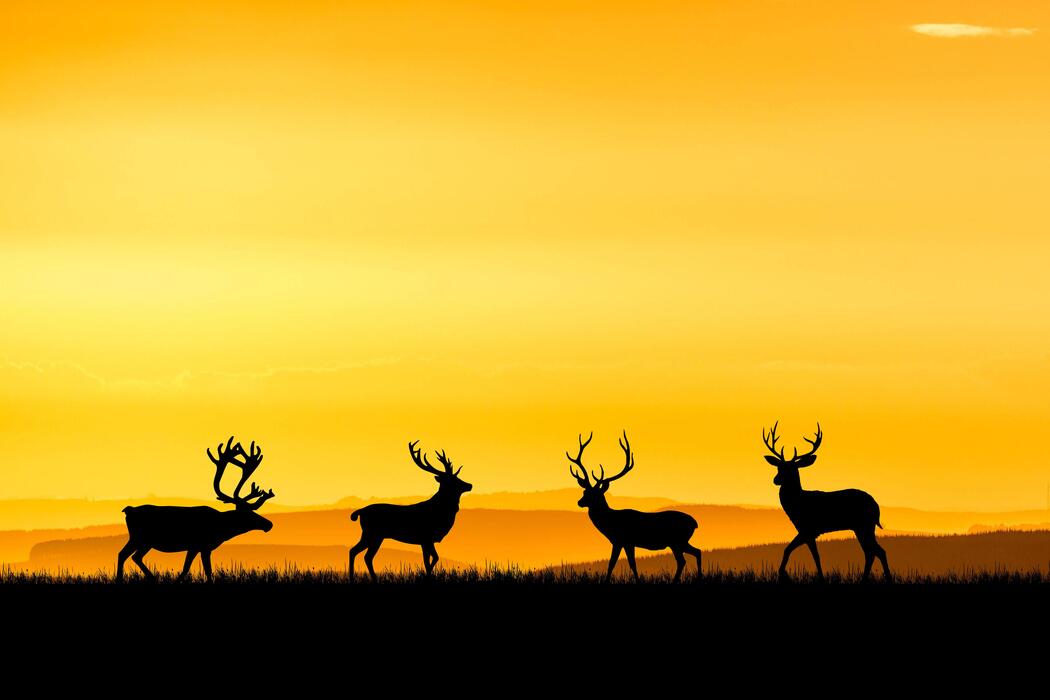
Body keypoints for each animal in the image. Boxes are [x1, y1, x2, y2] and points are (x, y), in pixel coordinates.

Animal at [116, 436, 276, 582]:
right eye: (249, 513)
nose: (269, 524)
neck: (222, 528)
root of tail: (128, 510)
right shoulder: (198, 545)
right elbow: (197, 570)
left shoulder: (200, 547)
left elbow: (193, 569)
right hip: (140, 538)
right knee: (126, 555)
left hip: (144, 541)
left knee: (131, 556)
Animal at [348, 440, 472, 581]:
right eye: (452, 480)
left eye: (457, 477)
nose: (469, 485)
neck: (441, 513)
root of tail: (360, 511)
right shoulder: (426, 537)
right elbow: (432, 560)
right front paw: (427, 577)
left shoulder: (426, 541)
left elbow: (430, 560)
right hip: (372, 533)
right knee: (360, 553)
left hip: (375, 536)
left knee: (361, 554)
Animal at [567, 431, 701, 583]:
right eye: (584, 492)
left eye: (595, 494)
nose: (580, 502)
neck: (611, 522)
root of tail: (694, 523)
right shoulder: (625, 542)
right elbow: (628, 563)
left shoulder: (622, 540)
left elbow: (618, 563)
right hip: (680, 541)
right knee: (697, 552)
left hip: (676, 540)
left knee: (683, 560)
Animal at [762, 422, 891, 582]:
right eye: (778, 467)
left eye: (792, 468)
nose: (776, 479)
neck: (798, 502)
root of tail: (876, 506)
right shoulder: (807, 532)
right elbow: (810, 554)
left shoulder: (808, 529)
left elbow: (799, 552)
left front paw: (783, 574)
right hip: (863, 527)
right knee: (873, 552)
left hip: (864, 525)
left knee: (875, 551)